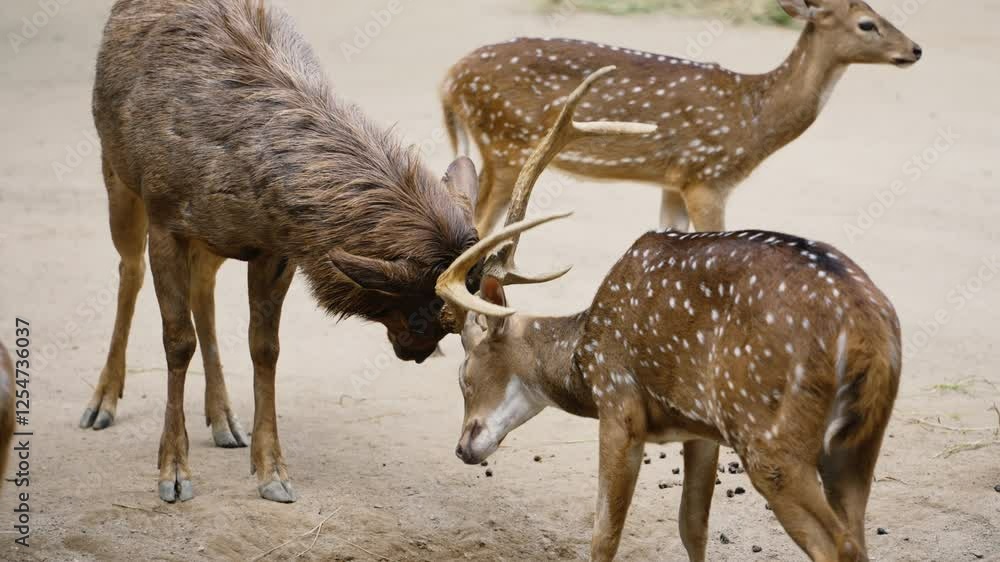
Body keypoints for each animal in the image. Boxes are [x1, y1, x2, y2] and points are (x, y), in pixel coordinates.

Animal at [79, 0, 552, 504]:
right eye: (427, 312)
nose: (418, 353)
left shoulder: (273, 247)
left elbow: (265, 348)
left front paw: (271, 471)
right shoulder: (167, 220)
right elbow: (176, 341)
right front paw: (172, 472)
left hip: (209, 241)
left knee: (203, 290)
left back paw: (224, 418)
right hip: (117, 177)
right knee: (129, 270)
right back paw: (102, 402)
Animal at [436, 67, 903, 561]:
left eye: (465, 375)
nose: (463, 447)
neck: (583, 358)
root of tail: (867, 330)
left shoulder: (619, 405)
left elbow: (604, 534)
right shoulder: (700, 429)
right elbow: (692, 526)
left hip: (770, 436)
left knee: (838, 544)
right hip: (857, 444)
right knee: (856, 535)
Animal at [441, 0, 923, 234]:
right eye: (866, 24)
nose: (915, 49)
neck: (754, 115)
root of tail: (449, 77)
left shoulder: (673, 181)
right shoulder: (707, 177)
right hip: (506, 144)